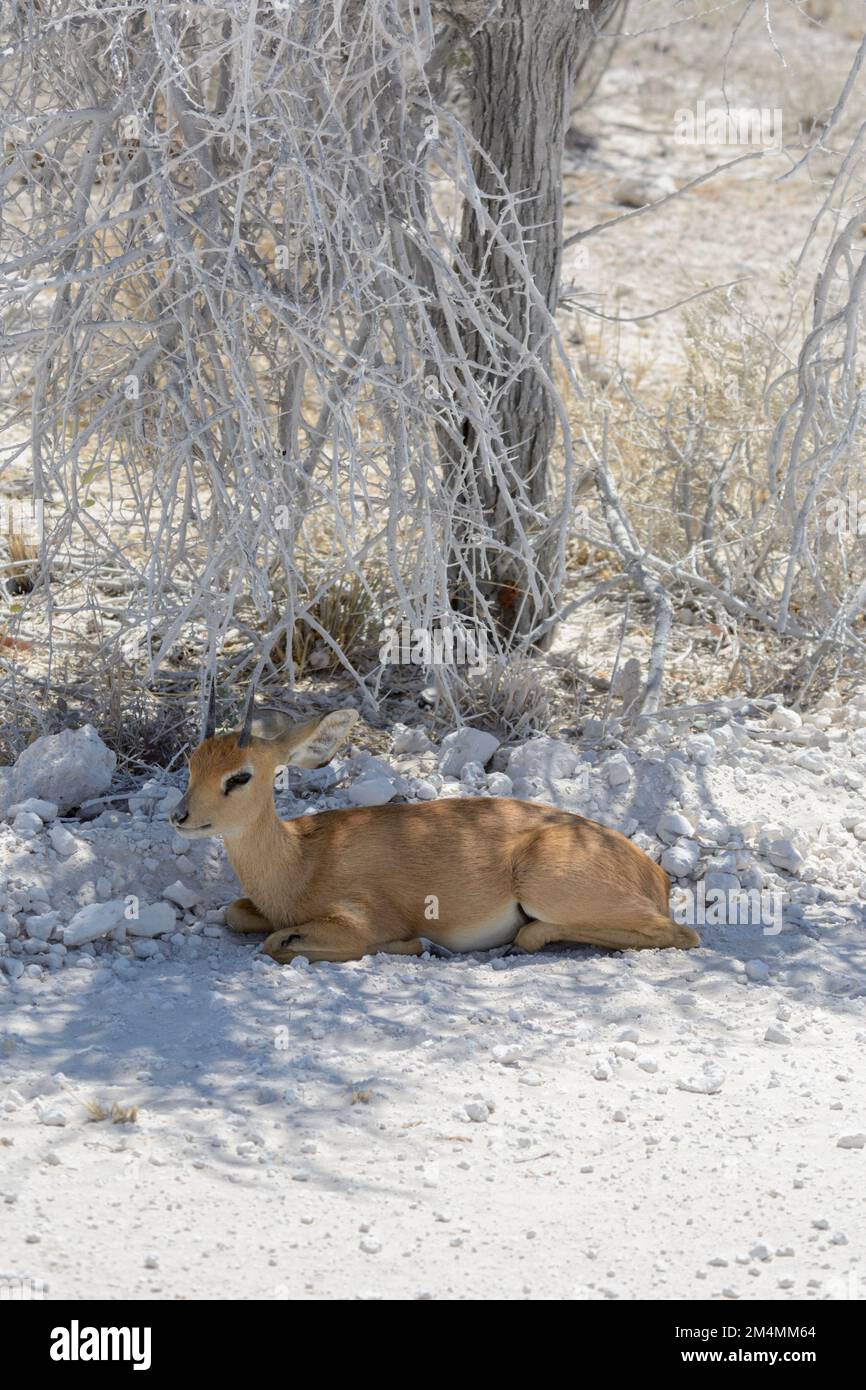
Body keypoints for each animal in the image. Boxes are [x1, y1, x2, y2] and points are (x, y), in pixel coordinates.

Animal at [170, 682, 700, 964]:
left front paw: (412, 941)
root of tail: (653, 873)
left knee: (680, 935)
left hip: (549, 890)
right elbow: (235, 912)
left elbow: (278, 943)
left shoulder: (355, 920)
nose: (180, 816)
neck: (300, 860)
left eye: (240, 776)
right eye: (192, 763)